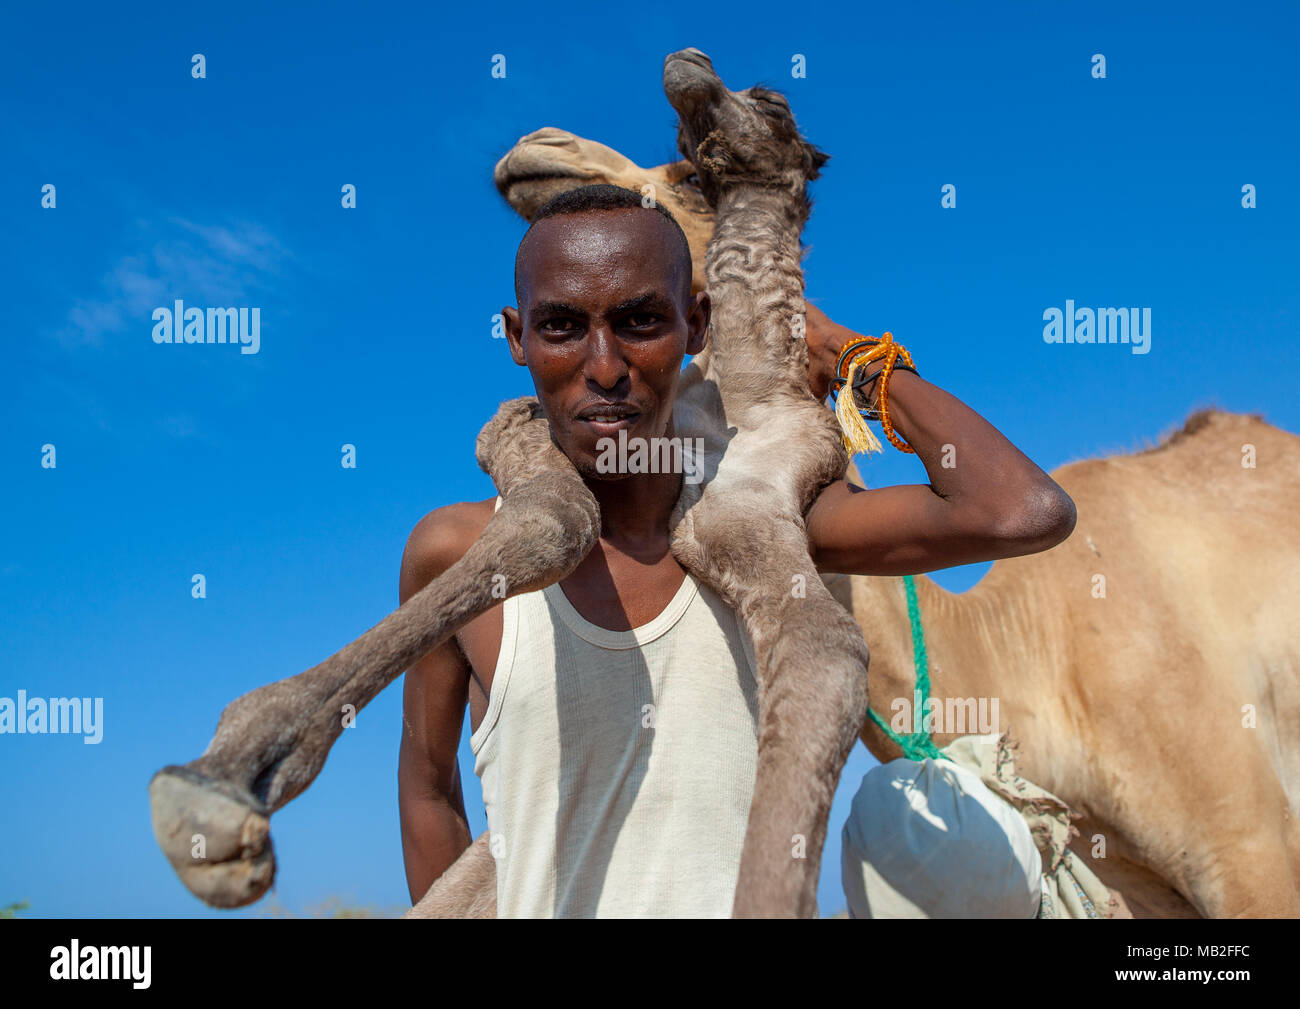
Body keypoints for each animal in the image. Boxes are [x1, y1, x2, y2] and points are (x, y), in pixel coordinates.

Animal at [151, 47, 870, 919]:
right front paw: (217, 785)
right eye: (686, 147)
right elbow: (553, 517)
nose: (690, 63)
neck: (742, 385)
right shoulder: (531, 437)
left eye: (771, 101)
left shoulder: (766, 496)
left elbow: (828, 651)